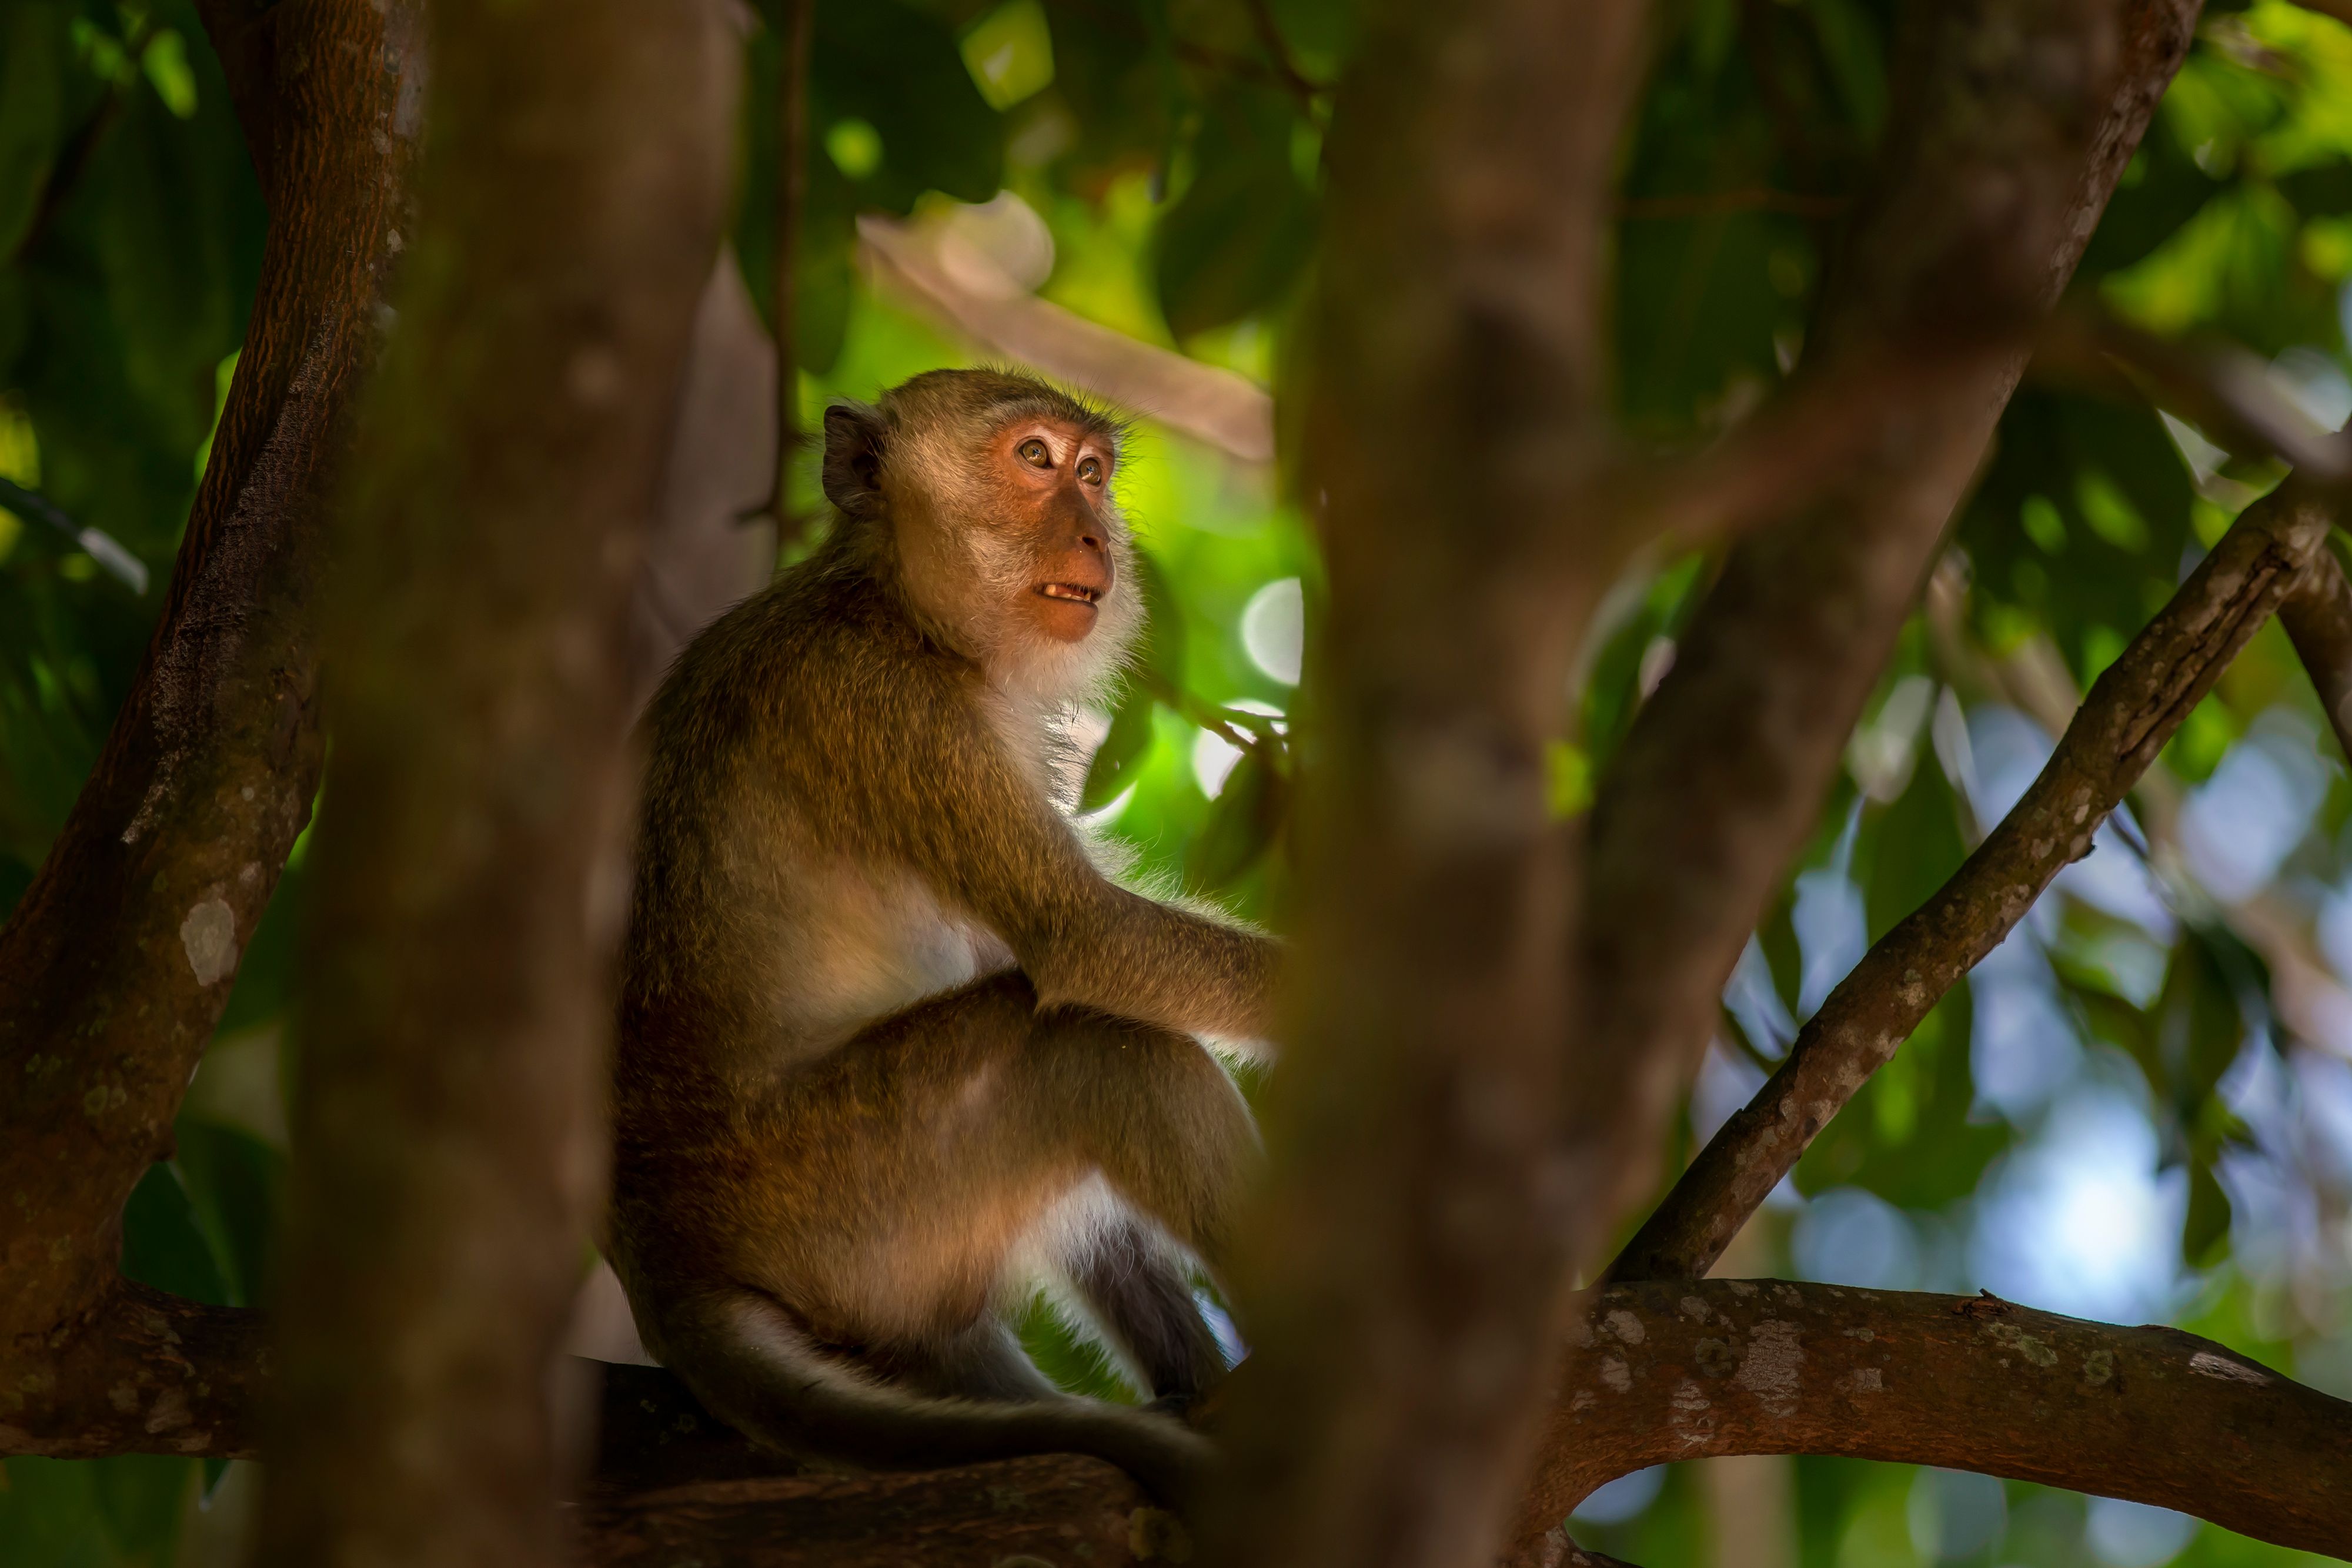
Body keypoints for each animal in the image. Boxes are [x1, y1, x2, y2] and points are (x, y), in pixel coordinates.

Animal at [605, 368, 1281, 1510]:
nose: (1097, 533)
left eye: (1094, 471)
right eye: (1036, 460)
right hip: (854, 1192)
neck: (895, 605)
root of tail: (664, 1247)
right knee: (1098, 1052)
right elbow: (1088, 943)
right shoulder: (889, 708)